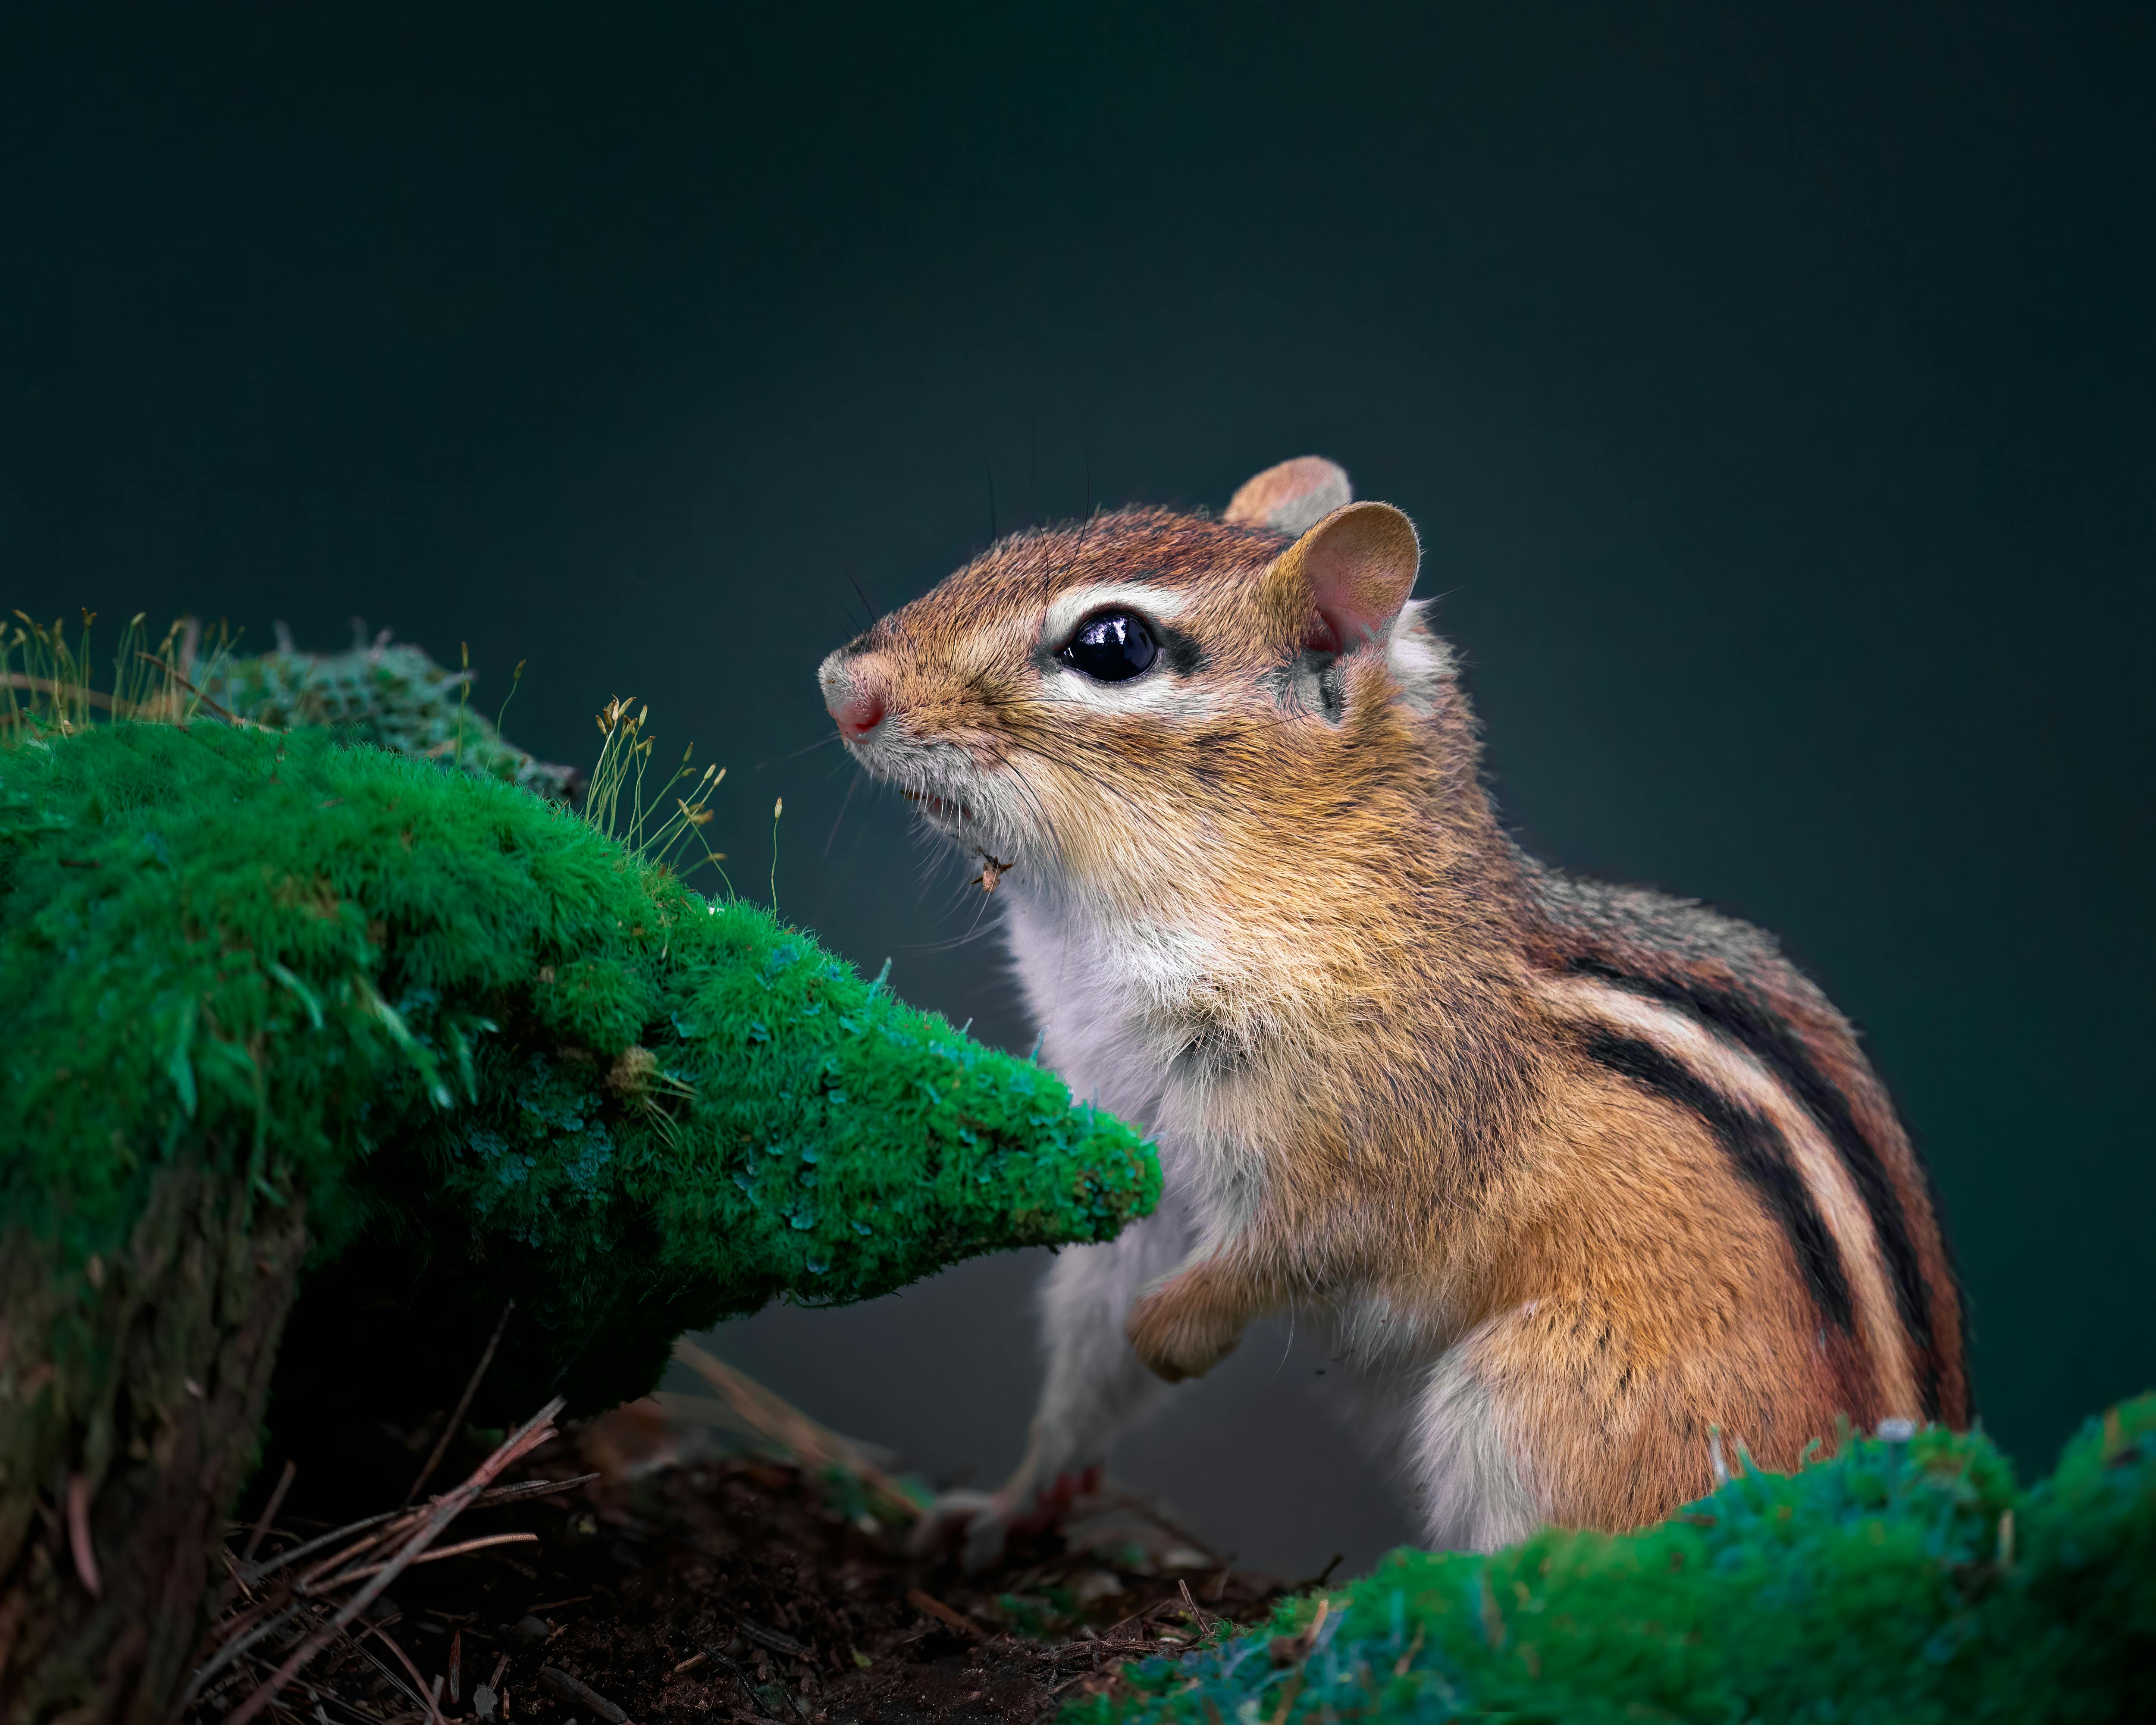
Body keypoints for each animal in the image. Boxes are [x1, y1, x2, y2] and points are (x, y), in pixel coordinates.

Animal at [818, 456, 1969, 1567]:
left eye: (1114, 644)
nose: (842, 689)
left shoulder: (1381, 1124)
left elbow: (1309, 1239)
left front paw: (1173, 1331)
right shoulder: (1136, 1160)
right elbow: (1091, 1352)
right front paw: (1011, 1500)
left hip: (1526, 1396)